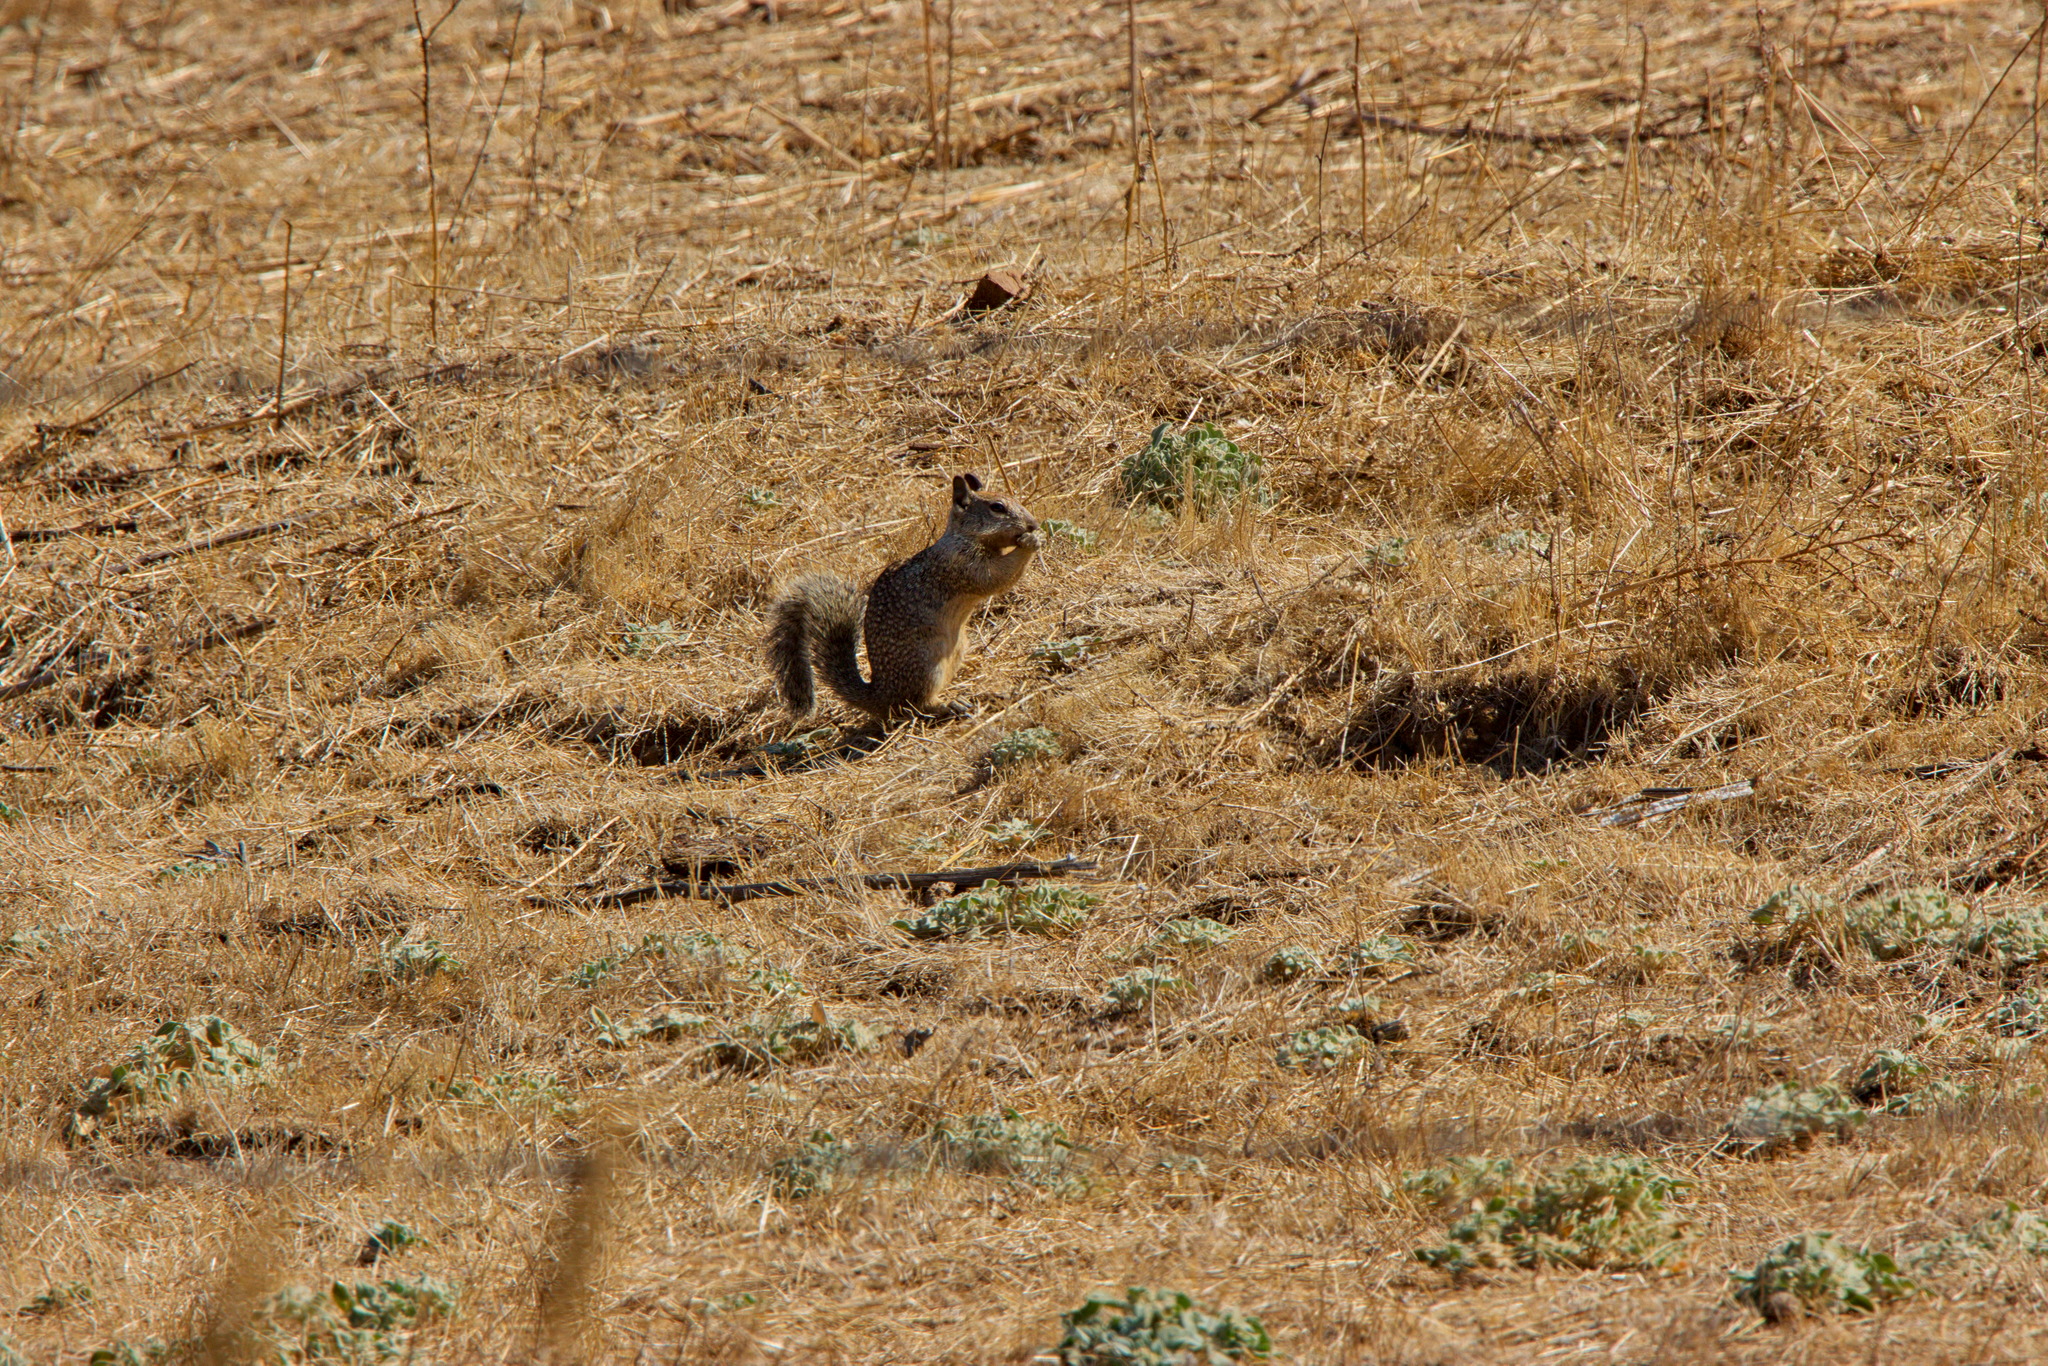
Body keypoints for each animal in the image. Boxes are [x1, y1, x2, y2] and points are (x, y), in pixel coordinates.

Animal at [766, 472, 1040, 721]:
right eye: (997, 507)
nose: (1033, 524)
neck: (963, 537)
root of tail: (880, 695)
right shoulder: (961, 565)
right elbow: (996, 577)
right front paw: (1031, 541)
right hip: (925, 666)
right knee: (916, 704)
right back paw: (951, 705)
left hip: (956, 649)